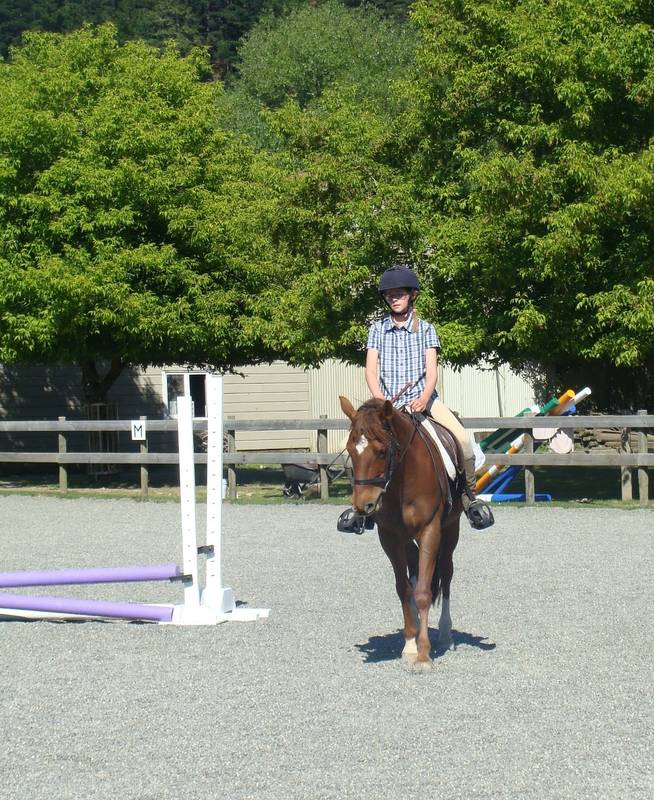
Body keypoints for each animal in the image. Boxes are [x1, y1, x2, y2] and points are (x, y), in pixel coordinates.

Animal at [339, 395, 463, 670]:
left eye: (381, 451)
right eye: (351, 451)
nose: (363, 506)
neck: (402, 481)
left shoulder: (430, 531)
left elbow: (425, 592)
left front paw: (424, 655)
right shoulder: (390, 537)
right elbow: (404, 589)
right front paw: (410, 646)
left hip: (451, 530)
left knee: (446, 574)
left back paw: (446, 635)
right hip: (408, 540)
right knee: (415, 571)